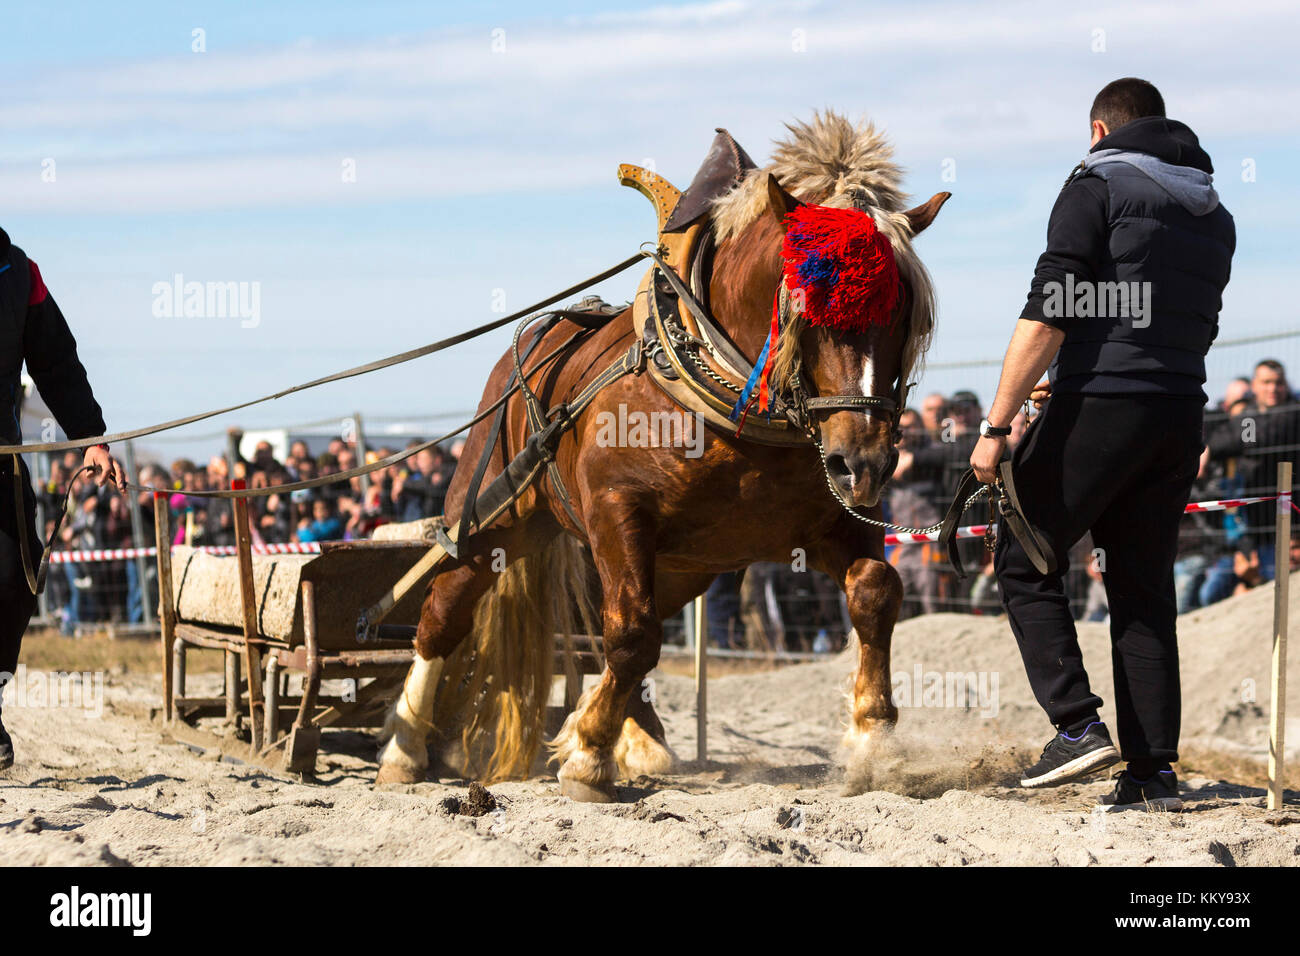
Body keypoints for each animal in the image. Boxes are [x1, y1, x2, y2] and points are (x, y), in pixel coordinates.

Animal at [375, 111, 949, 801]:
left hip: (684, 564)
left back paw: (637, 736)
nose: (863, 463)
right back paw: (405, 748)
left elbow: (876, 591)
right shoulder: (617, 510)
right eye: (810, 308)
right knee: (446, 611)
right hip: (495, 516)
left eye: (906, 317)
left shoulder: (825, 523)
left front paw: (872, 741)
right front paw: (588, 755)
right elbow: (630, 633)